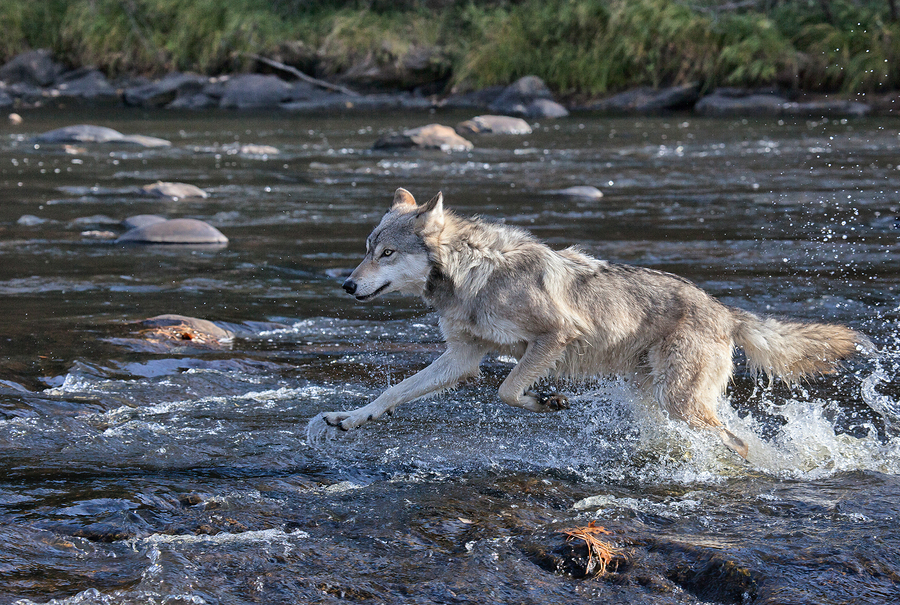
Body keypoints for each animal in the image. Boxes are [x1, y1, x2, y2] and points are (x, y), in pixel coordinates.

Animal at [317, 188, 872, 458]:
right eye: (366, 249)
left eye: (386, 254)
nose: (346, 285)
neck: (472, 274)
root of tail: (724, 310)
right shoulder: (462, 357)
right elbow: (393, 392)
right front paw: (352, 418)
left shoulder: (554, 337)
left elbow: (508, 391)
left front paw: (546, 401)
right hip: (660, 401)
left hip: (681, 401)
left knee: (736, 441)